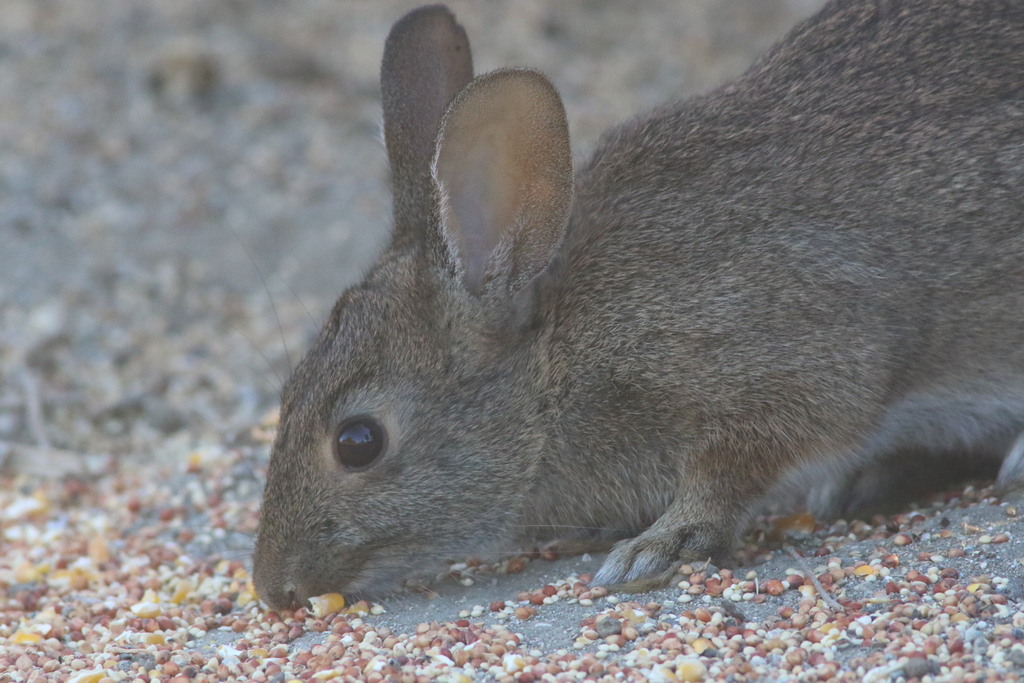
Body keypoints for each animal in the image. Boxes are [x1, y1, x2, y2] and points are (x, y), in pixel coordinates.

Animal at [253, 0, 1024, 609]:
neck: (555, 363)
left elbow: (734, 466)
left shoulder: (789, 358)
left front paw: (658, 547)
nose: (272, 588)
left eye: (358, 442)